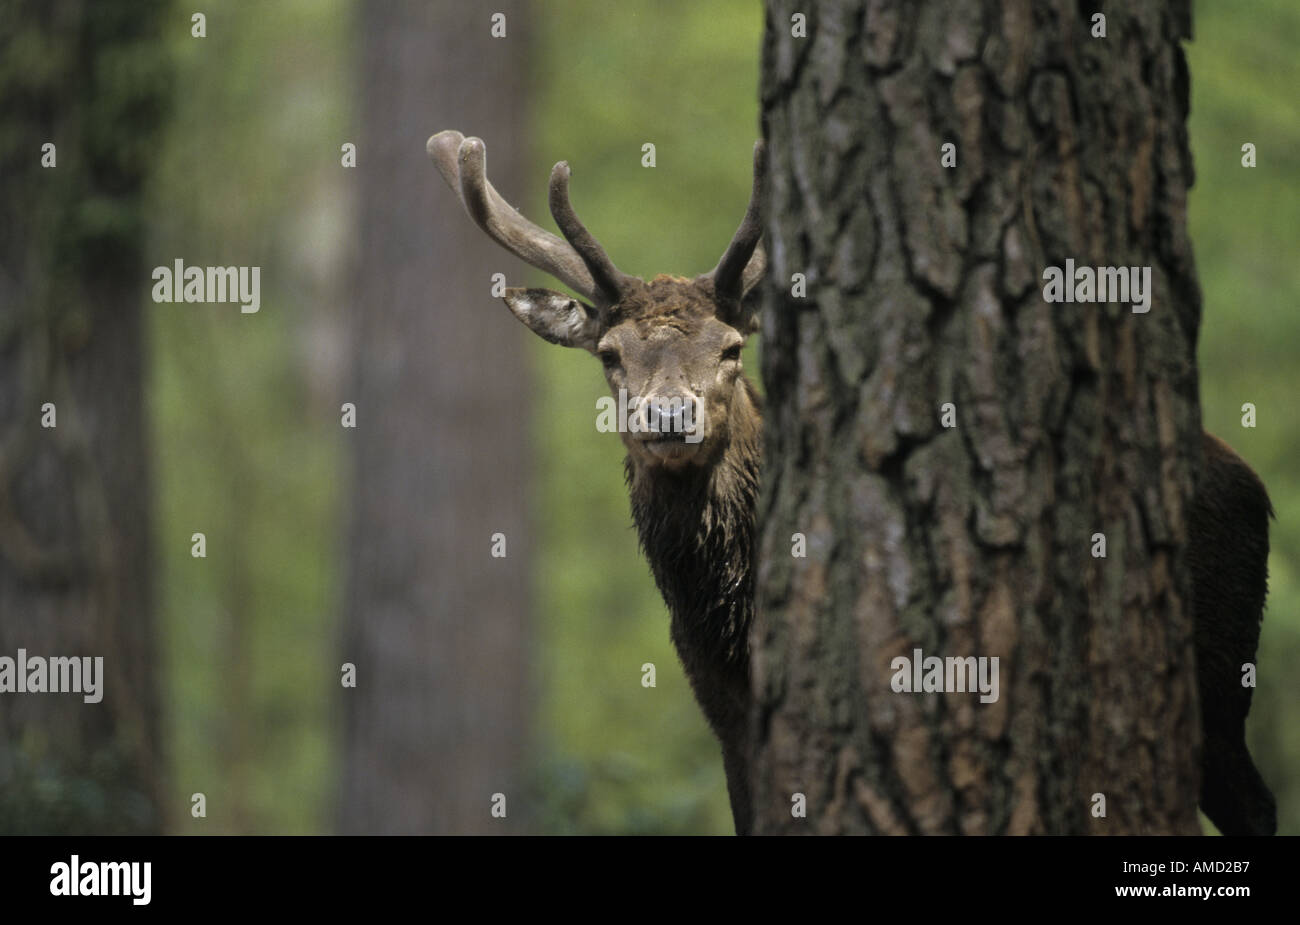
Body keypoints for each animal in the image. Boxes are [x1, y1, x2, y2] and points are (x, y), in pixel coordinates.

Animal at [426, 129, 1275, 837]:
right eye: (610, 353)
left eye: (731, 347)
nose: (668, 416)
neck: (731, 615)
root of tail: (1255, 486)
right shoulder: (722, 706)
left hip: (1218, 666)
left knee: (1253, 800)